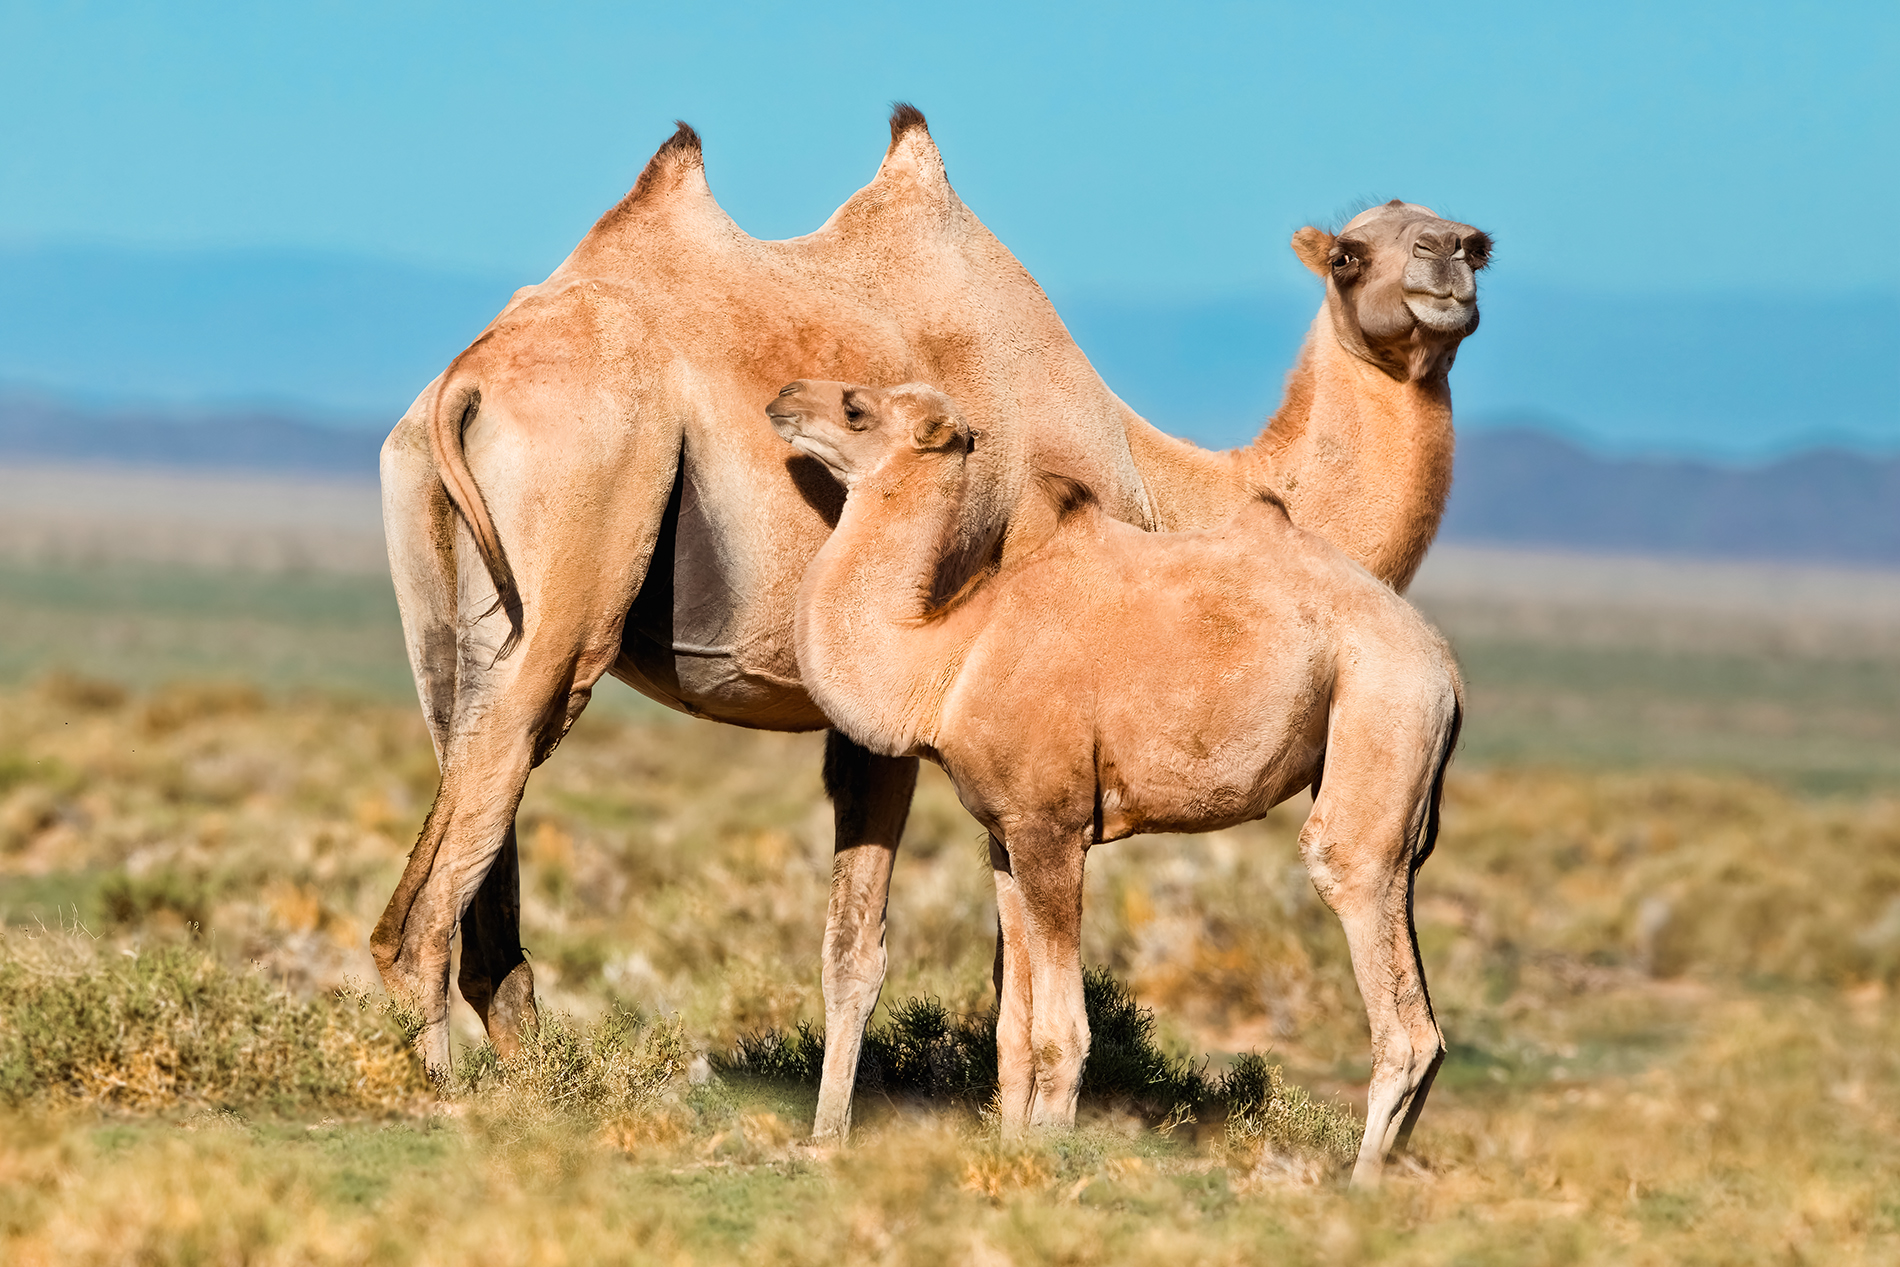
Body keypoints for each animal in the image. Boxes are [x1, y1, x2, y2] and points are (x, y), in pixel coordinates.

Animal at [767, 379, 1463, 1185]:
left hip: (1380, 711)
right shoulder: (1006, 836)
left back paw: (1360, 1186)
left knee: (1381, 969)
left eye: (856, 409)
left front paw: (1048, 1154)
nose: (784, 397)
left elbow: (1061, 1031)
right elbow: (1014, 1030)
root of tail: (1442, 663)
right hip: (1399, 797)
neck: (950, 659)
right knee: (1426, 1014)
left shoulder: (1054, 830)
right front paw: (1011, 1147)